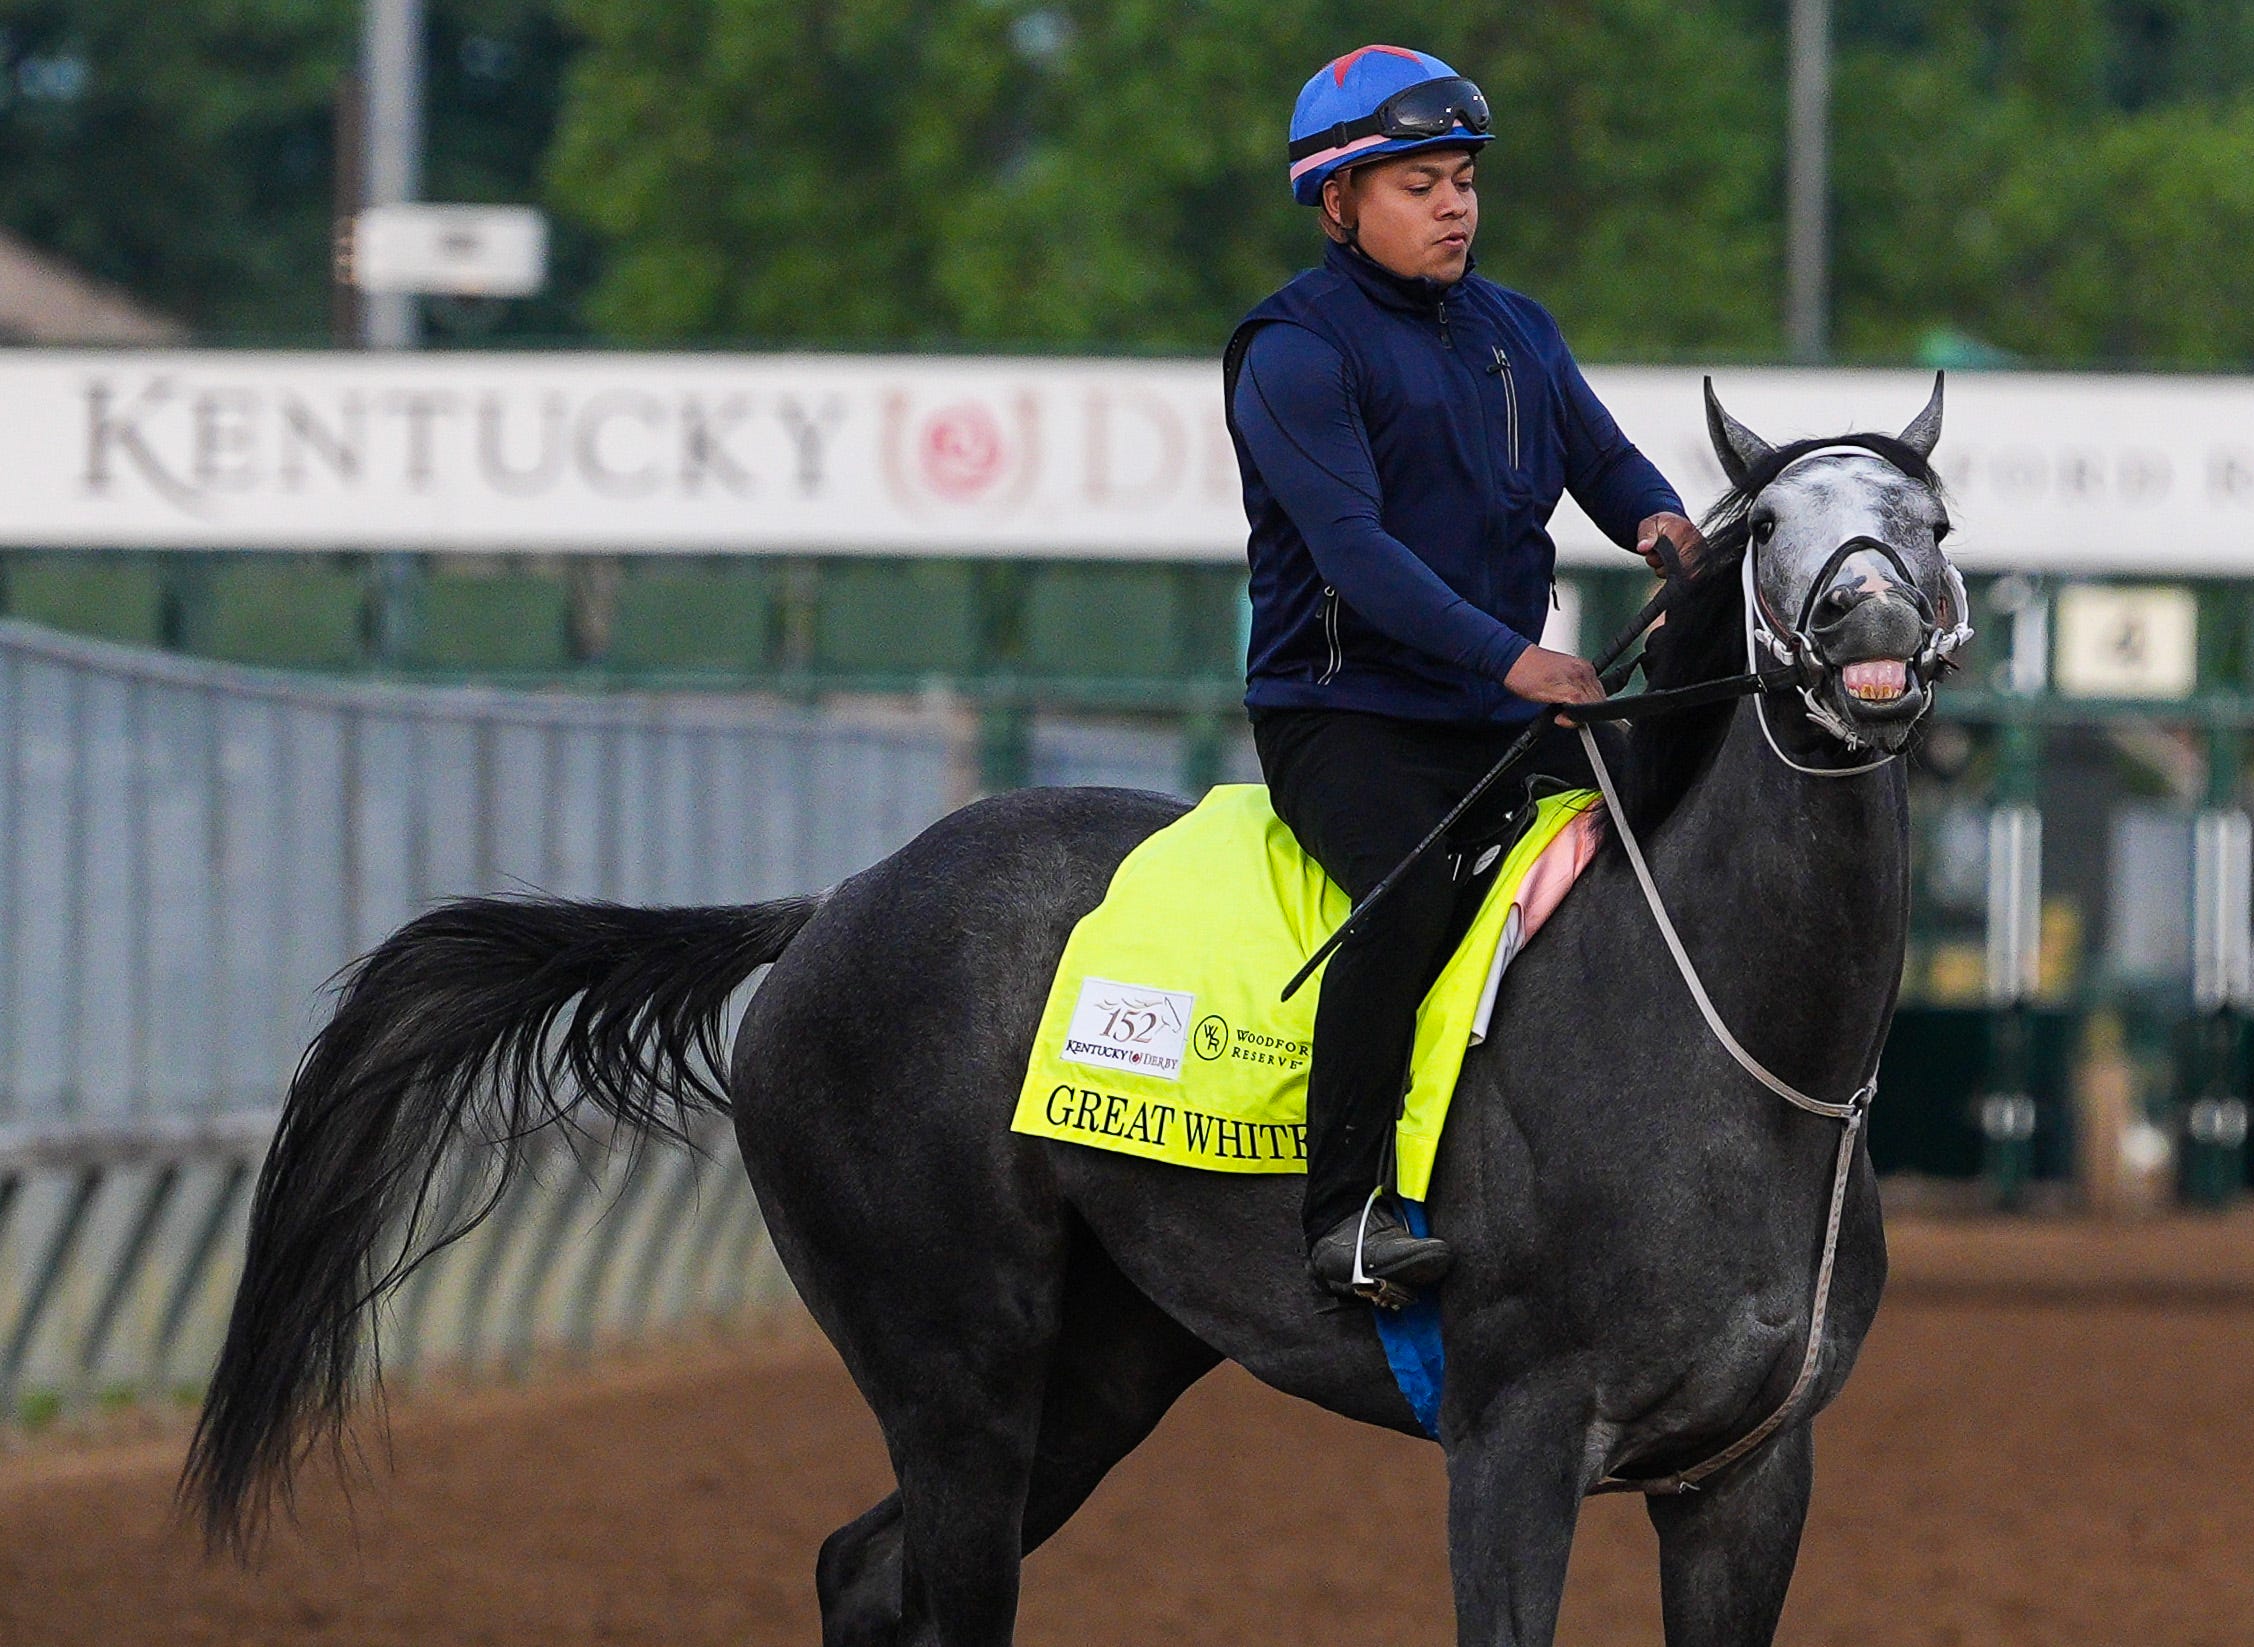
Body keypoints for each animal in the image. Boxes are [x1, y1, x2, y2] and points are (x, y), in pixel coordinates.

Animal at [184, 377, 1967, 1647]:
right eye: (1768, 524)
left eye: (1929, 515)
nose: (1869, 628)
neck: (1728, 1054)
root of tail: (834, 905)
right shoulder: (1510, 1442)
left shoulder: (1744, 1476)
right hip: (953, 1361)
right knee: (934, 1576)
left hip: (1101, 1367)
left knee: (861, 1568)